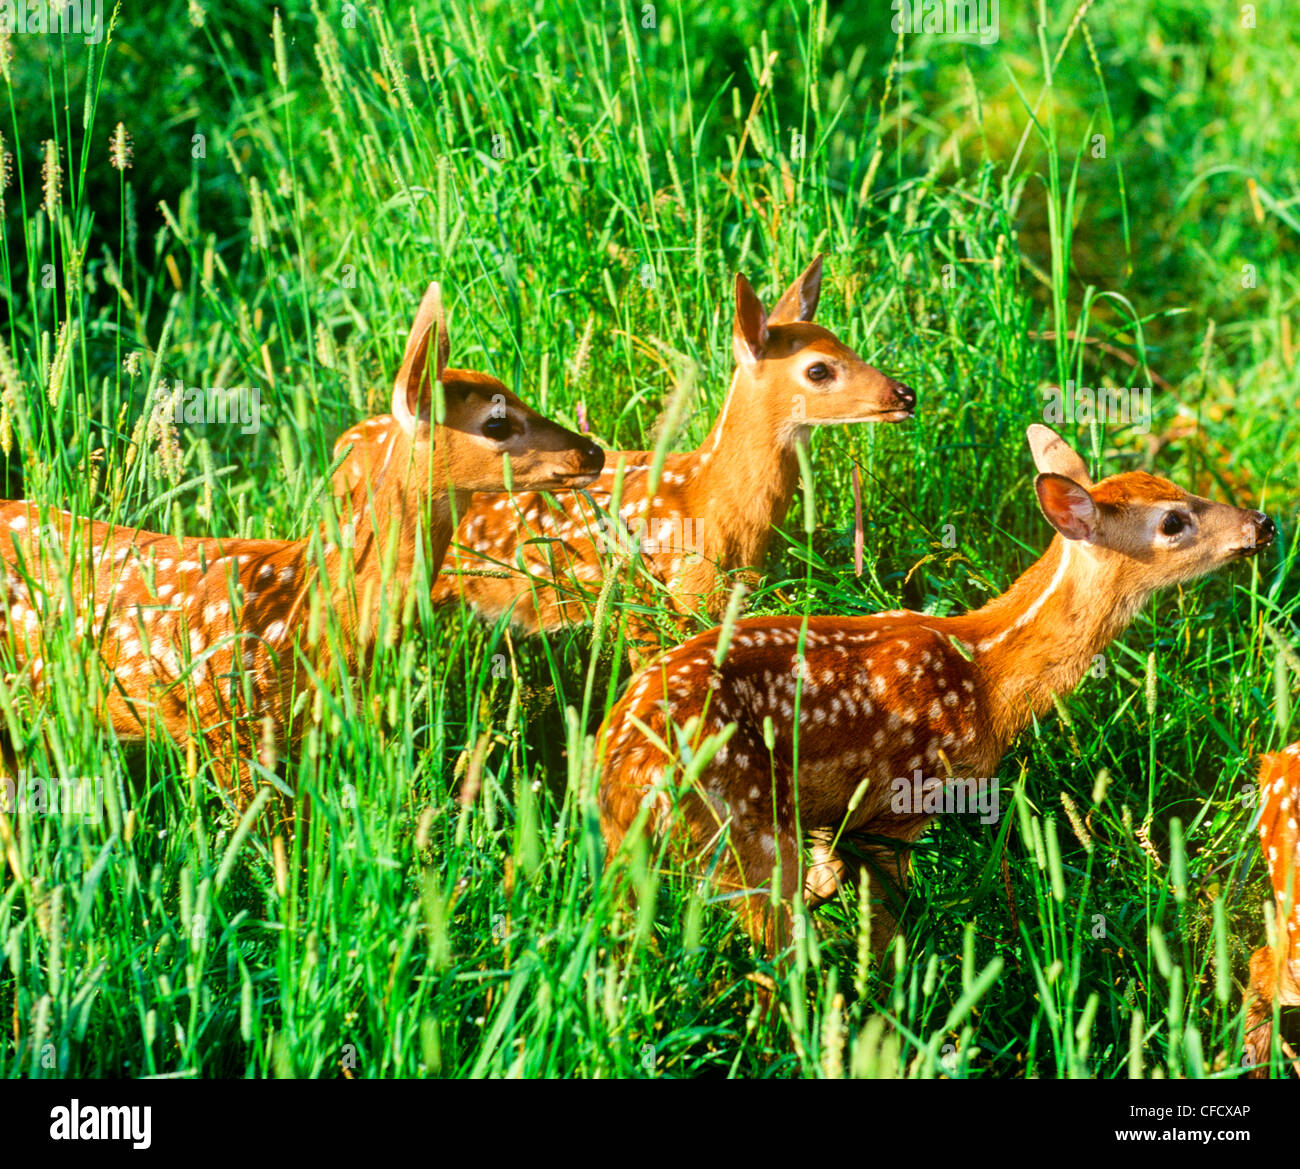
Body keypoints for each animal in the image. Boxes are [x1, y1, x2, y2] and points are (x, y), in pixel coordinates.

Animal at [330, 256, 915, 654]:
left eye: (846, 344)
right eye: (819, 369)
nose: (905, 394)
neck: (709, 501)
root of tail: (346, 440)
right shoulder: (651, 609)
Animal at [596, 424, 1276, 955]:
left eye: (1178, 486)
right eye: (1173, 522)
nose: (1263, 522)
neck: (986, 676)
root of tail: (617, 779)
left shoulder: (830, 821)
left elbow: (829, 885)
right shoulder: (901, 805)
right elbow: (885, 924)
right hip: (743, 828)